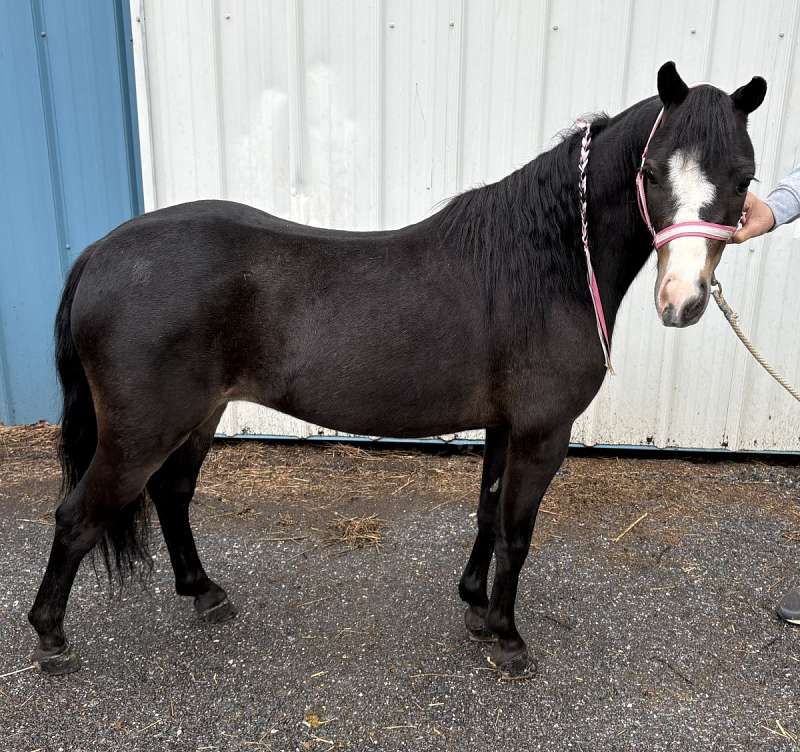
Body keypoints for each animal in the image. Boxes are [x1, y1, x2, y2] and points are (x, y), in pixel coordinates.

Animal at [28, 62, 766, 676]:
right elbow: (517, 533)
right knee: (77, 516)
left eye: (743, 179)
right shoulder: (541, 434)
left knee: (172, 493)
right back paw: (51, 638)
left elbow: (488, 512)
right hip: (140, 432)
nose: (682, 301)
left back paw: (205, 594)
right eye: (653, 174)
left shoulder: (504, 427)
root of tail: (102, 251)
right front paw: (508, 639)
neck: (542, 264)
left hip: (198, 416)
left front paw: (475, 607)